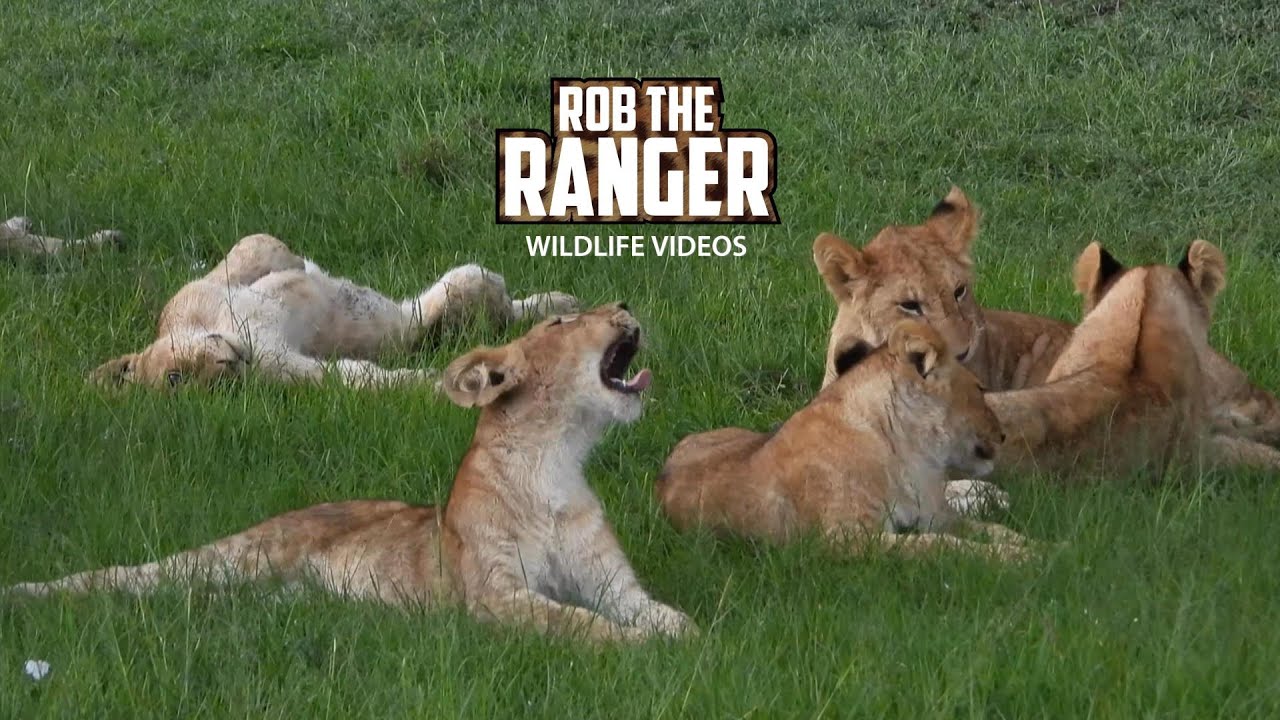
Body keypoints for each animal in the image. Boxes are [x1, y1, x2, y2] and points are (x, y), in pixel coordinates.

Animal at [9, 303, 696, 643]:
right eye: (560, 321)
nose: (625, 303)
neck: (555, 460)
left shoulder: (614, 584)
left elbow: (658, 610)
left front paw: (691, 640)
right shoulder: (494, 594)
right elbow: (576, 621)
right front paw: (639, 650)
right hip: (232, 557)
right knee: (133, 577)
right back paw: (27, 593)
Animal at [91, 233, 577, 389]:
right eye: (177, 383)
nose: (227, 368)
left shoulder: (197, 293)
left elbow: (258, 249)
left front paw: (296, 266)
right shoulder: (284, 368)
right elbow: (356, 376)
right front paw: (428, 382)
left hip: (469, 280)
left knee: (506, 304)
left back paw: (564, 304)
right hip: (458, 291)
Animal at [656, 320, 1036, 560]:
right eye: (980, 389)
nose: (1002, 434)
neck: (906, 452)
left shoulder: (932, 514)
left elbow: (987, 528)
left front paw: (1033, 545)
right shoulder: (847, 539)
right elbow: (937, 546)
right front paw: (1016, 557)